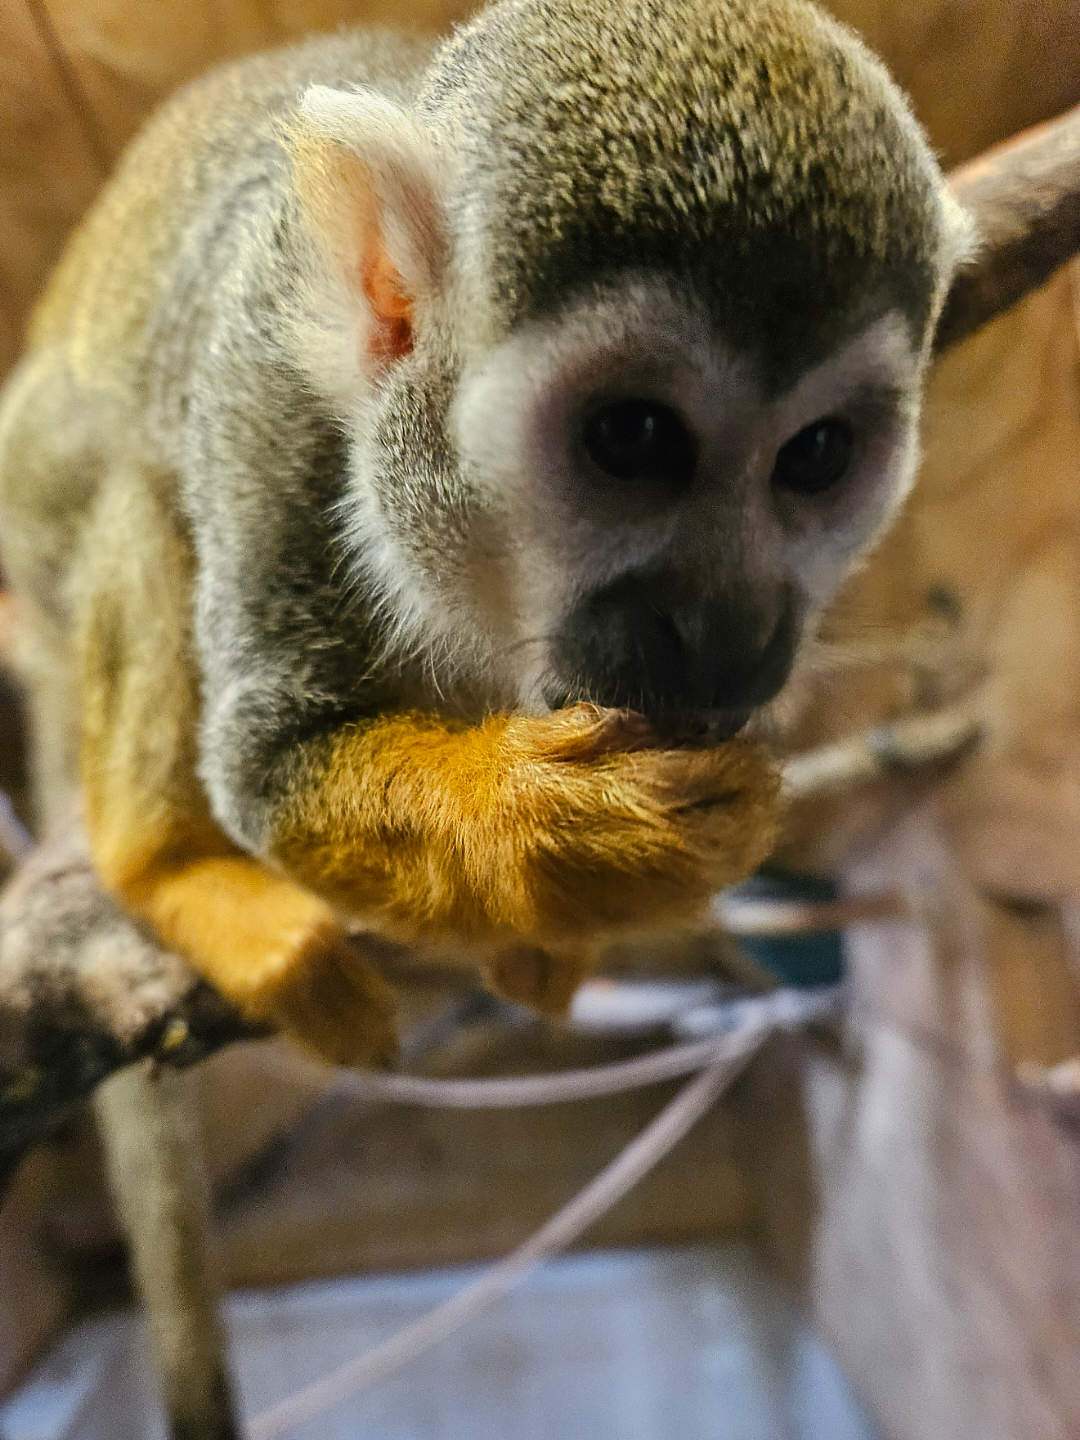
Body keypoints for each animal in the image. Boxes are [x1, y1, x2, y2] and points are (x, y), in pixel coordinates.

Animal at [0, 0, 968, 1071]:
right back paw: (165, 868)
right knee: (130, 492)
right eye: (634, 438)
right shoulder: (262, 392)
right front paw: (556, 834)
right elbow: (268, 764)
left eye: (820, 455)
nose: (725, 632)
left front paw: (563, 921)